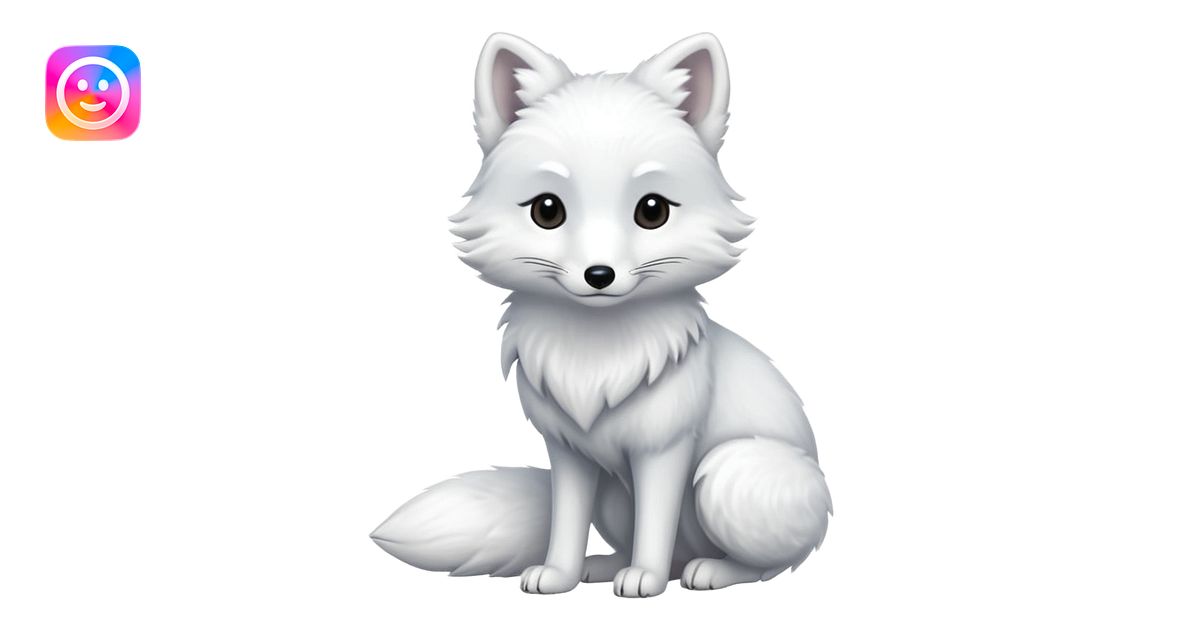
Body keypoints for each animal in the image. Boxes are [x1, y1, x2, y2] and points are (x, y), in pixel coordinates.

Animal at [371, 32, 832, 597]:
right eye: (547, 210)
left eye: (652, 210)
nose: (599, 275)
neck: (594, 353)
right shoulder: (568, 450)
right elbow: (566, 521)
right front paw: (559, 575)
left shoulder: (664, 449)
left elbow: (655, 524)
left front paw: (646, 580)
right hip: (615, 496)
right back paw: (609, 564)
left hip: (730, 473)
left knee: (765, 564)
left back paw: (710, 571)